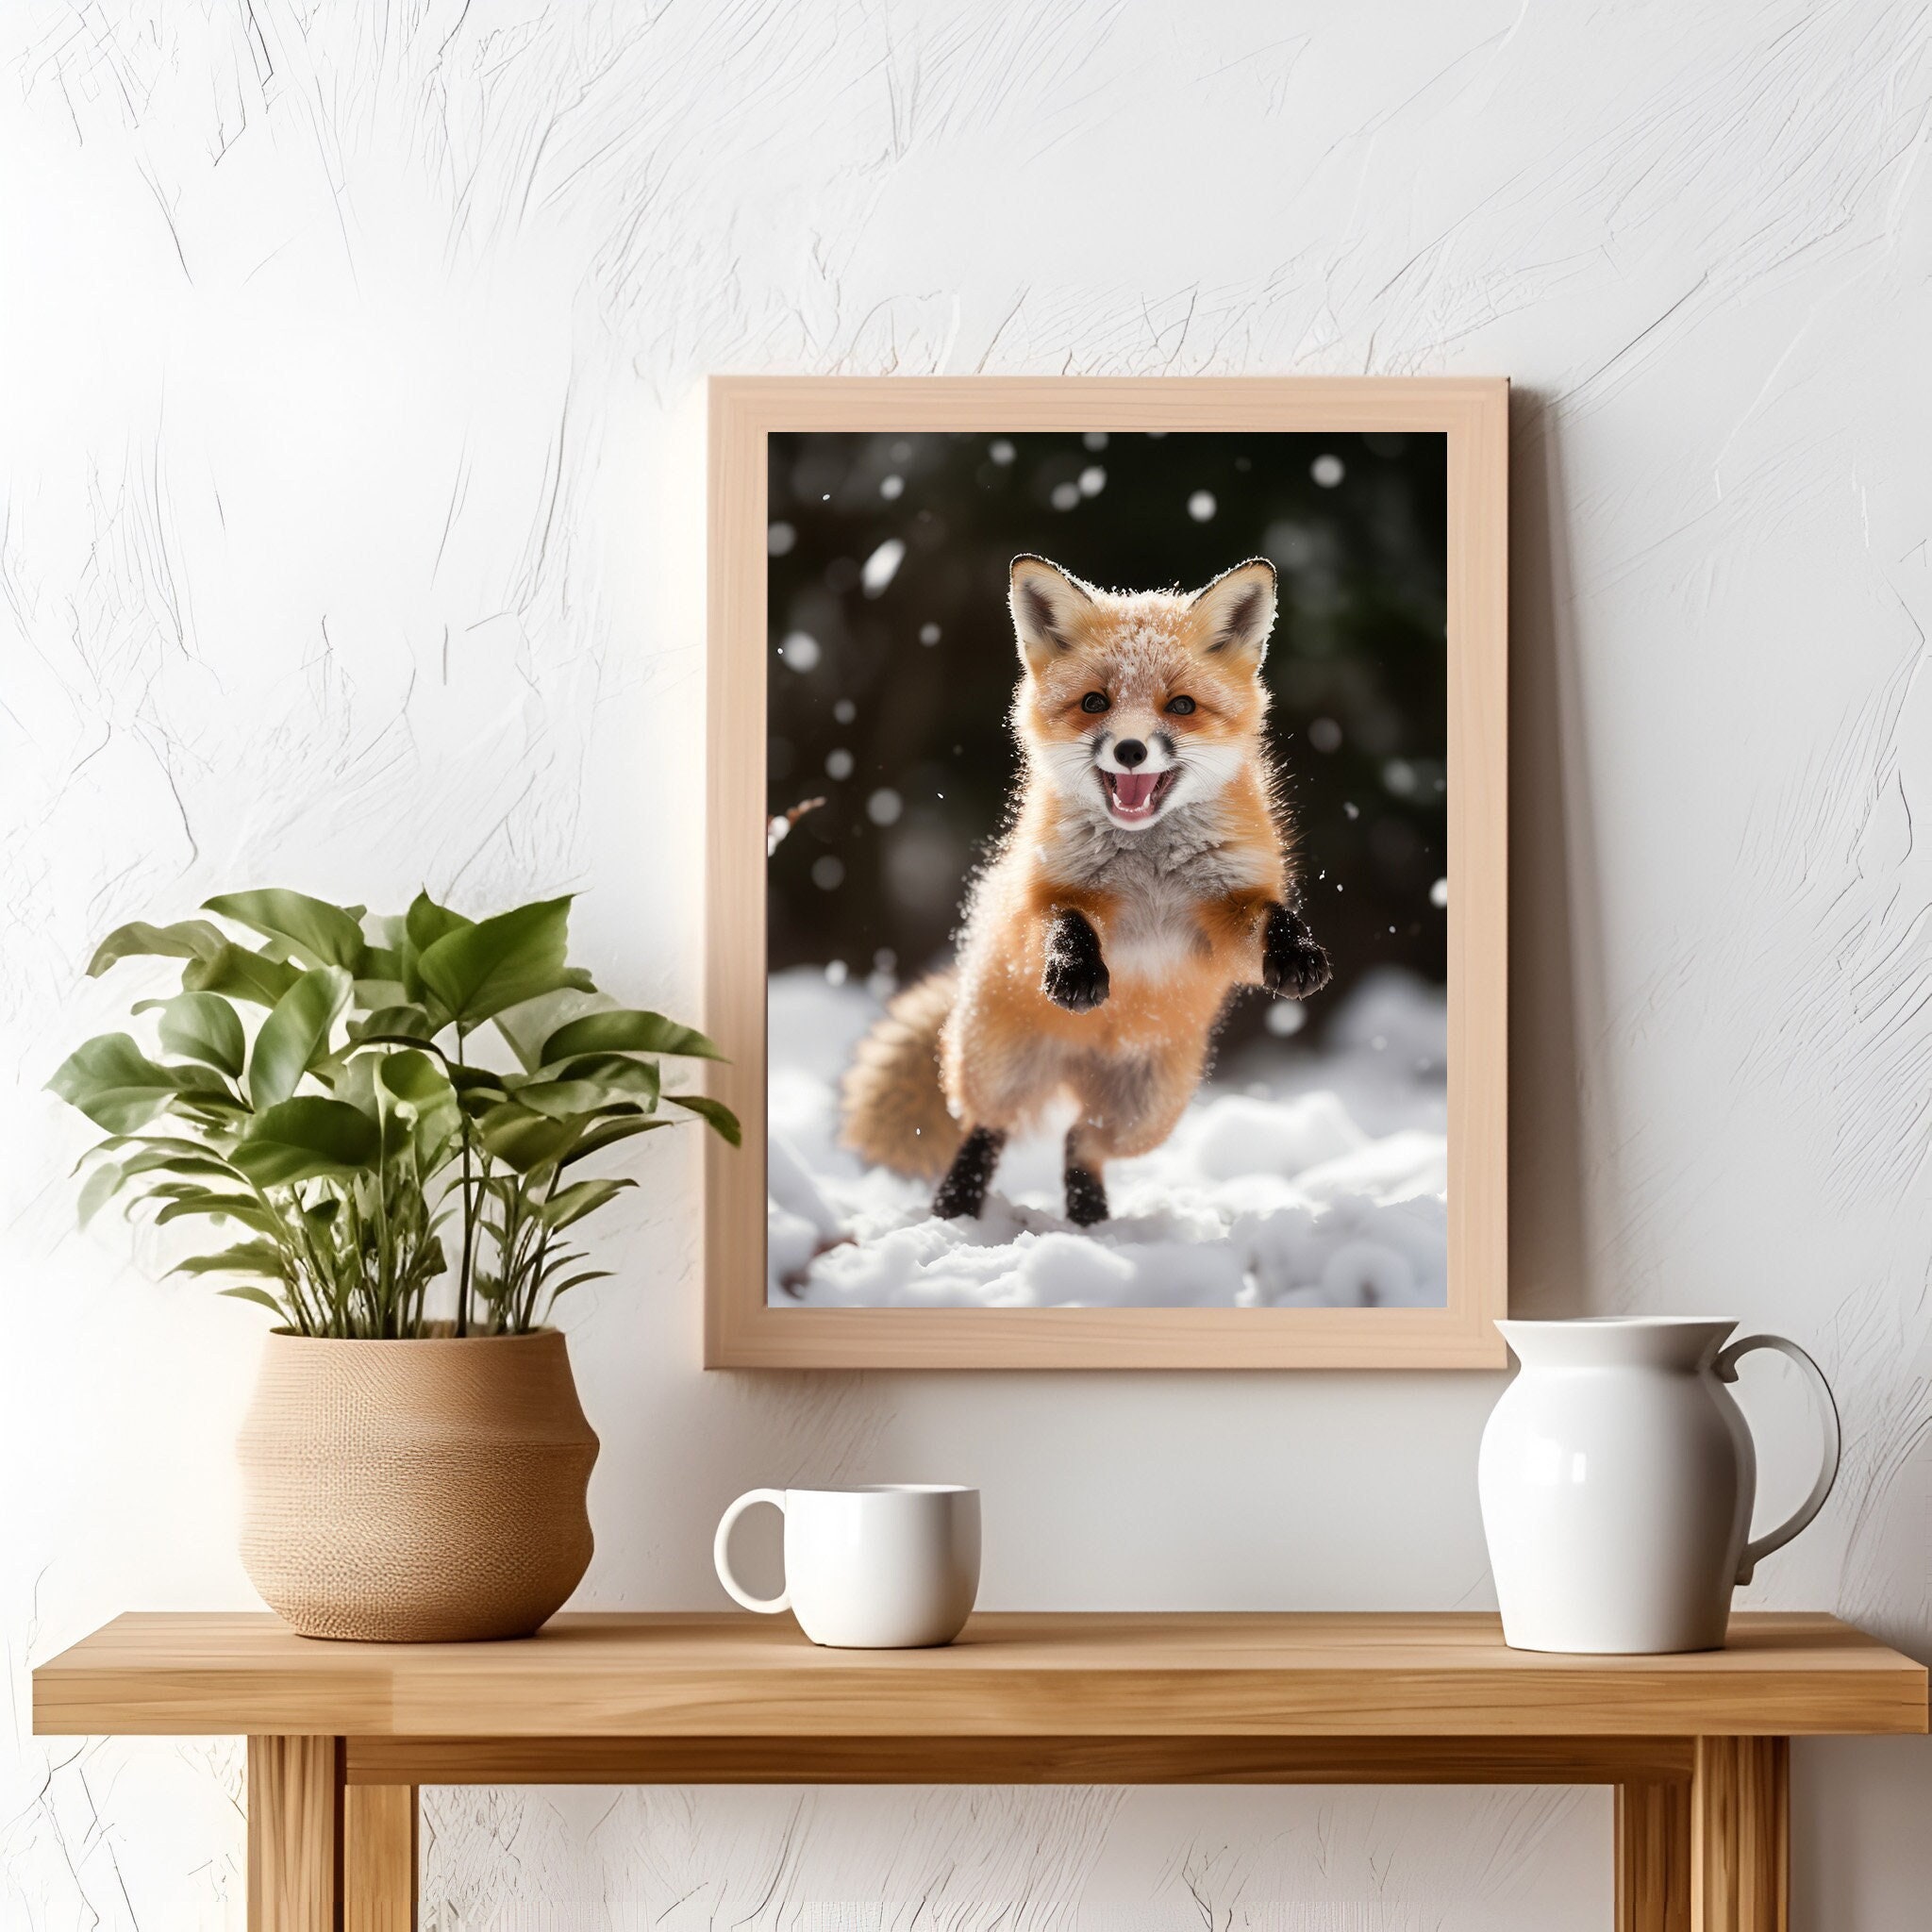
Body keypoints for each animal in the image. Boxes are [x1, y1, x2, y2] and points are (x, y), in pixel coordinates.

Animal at [839, 552, 1331, 1227]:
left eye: (1181, 706)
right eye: (1095, 702)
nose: (1130, 750)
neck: (1148, 871)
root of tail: (1080, 1062)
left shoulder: (1222, 922)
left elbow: (1274, 918)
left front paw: (1298, 956)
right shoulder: (1040, 902)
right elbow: (1065, 921)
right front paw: (1075, 973)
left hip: (1149, 1110)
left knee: (1082, 1139)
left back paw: (1089, 1216)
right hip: (999, 1066)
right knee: (988, 1126)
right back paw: (957, 1207)